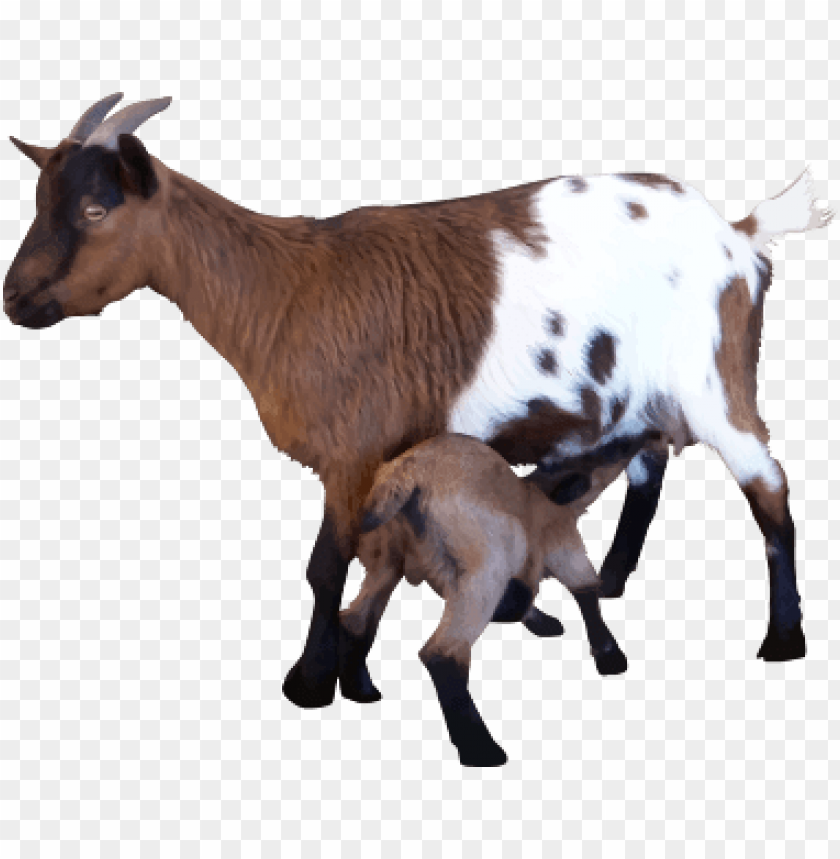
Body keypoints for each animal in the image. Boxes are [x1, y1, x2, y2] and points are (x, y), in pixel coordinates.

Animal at [4, 95, 832, 715]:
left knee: (769, 487)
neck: (284, 292)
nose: (15, 299)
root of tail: (739, 234)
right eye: (42, 199)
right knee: (649, 462)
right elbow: (378, 560)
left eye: (96, 209)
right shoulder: (384, 462)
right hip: (641, 391)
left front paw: (311, 682)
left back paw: (783, 637)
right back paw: (614, 578)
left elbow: (326, 565)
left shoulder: (354, 453)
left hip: (717, 381)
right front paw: (354, 672)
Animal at [348, 433, 627, 767]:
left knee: (356, 619)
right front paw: (611, 656)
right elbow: (586, 589)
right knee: (441, 651)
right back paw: (481, 749)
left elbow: (526, 596)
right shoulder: (564, 547)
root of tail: (407, 473)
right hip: (485, 566)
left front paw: (538, 620)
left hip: (384, 559)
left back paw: (360, 689)